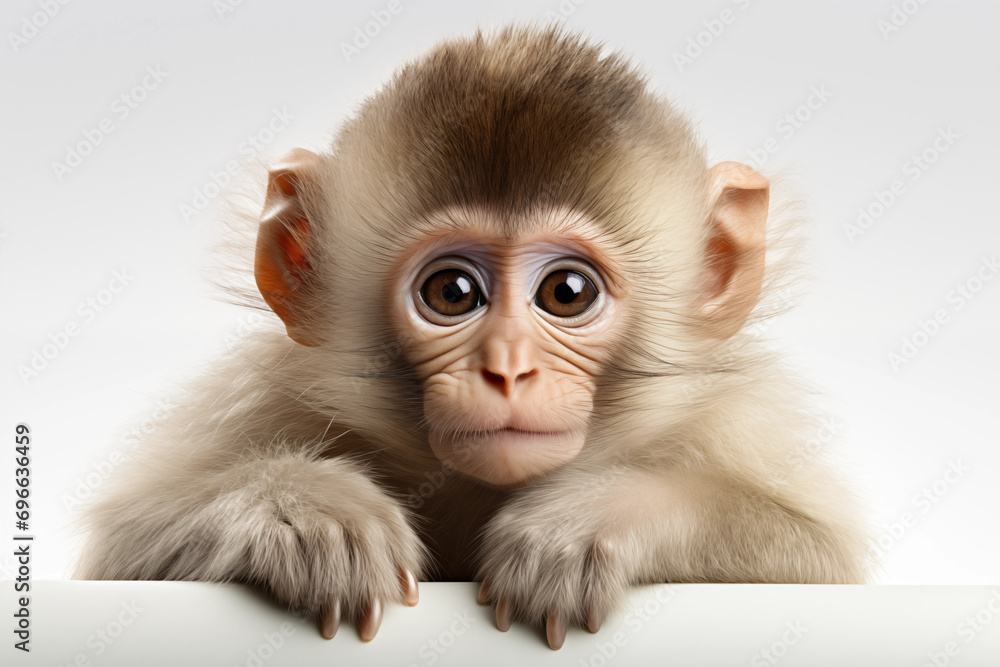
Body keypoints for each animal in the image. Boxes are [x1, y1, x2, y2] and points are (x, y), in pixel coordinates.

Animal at [76, 25, 869, 650]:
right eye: (451, 293)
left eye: (567, 292)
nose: (508, 369)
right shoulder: (266, 396)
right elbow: (115, 551)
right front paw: (306, 509)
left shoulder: (729, 416)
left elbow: (824, 558)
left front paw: (600, 515)